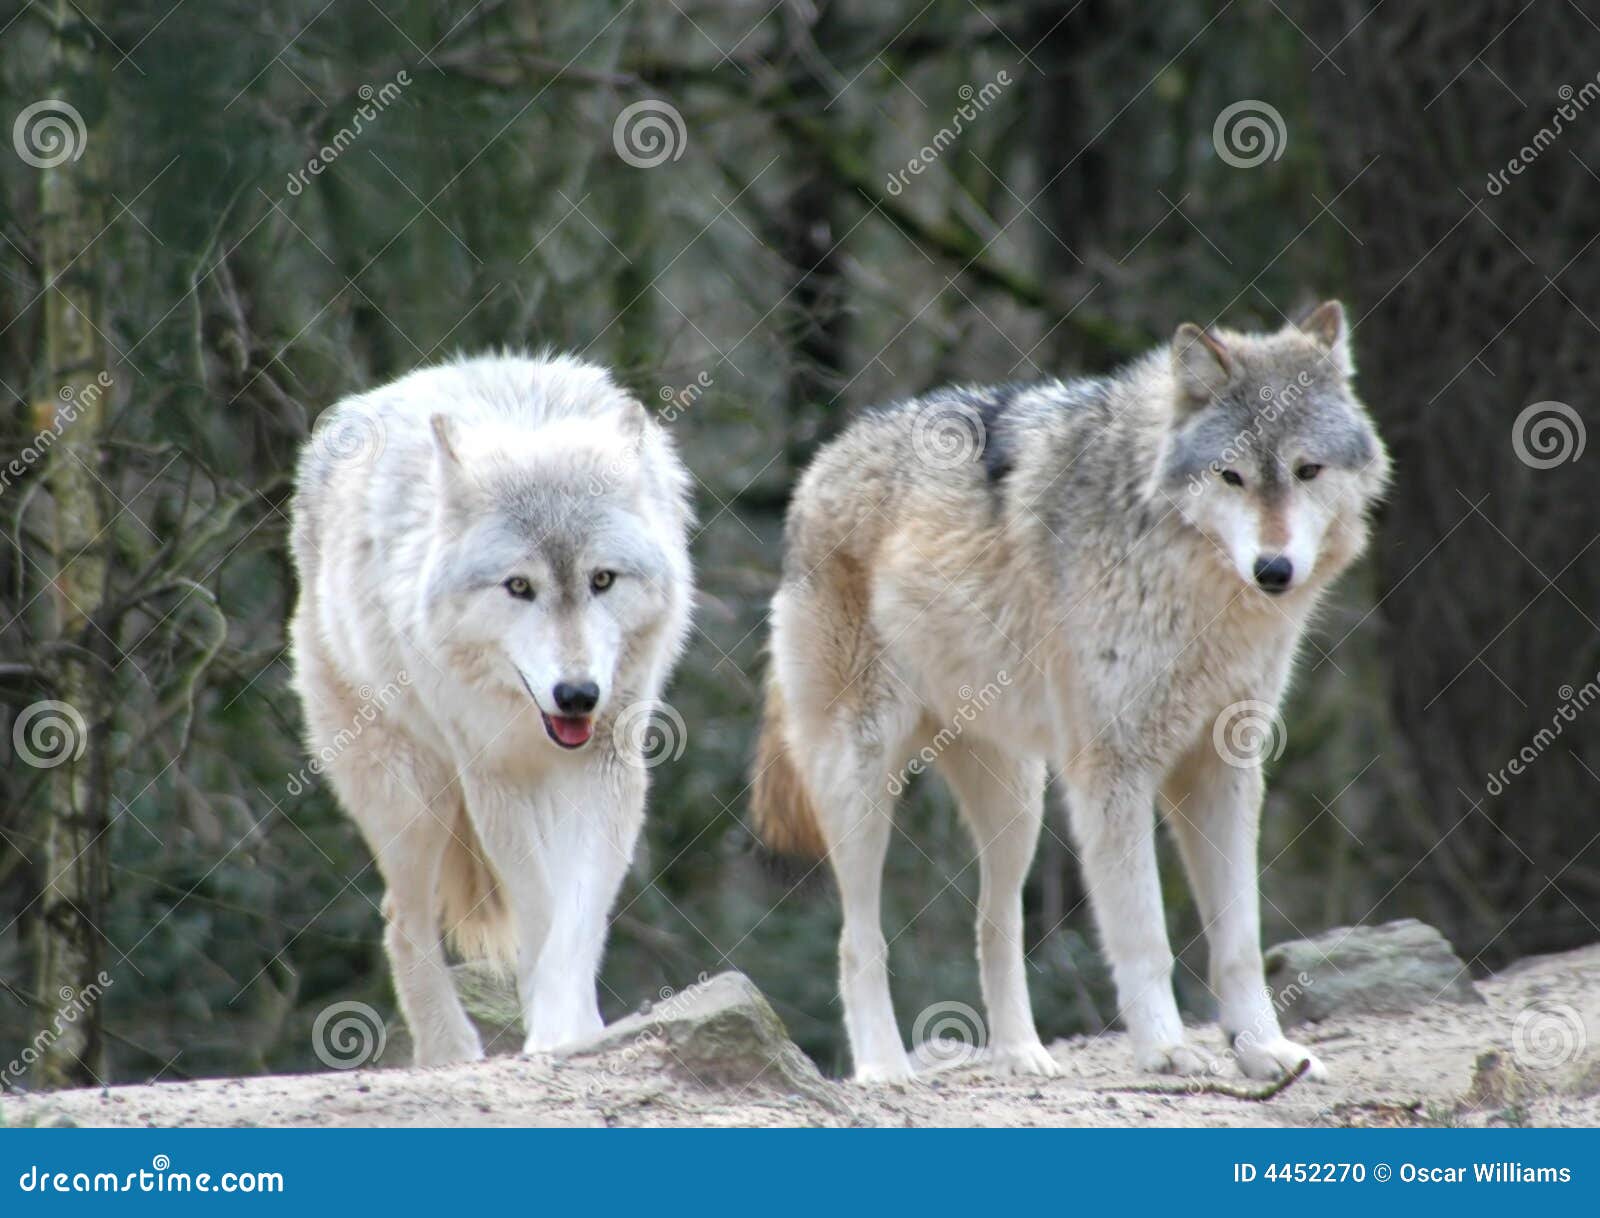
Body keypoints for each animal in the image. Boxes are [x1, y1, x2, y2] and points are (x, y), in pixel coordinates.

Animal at [289, 353, 693, 1065]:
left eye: (602, 580)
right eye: (519, 587)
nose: (577, 694)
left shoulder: (609, 770)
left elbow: (576, 917)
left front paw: (569, 1027)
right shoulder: (495, 778)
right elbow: (540, 910)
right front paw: (551, 1031)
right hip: (410, 795)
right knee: (401, 921)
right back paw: (449, 1053)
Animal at [752, 303, 1388, 1083]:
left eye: (1306, 470)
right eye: (1231, 476)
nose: (1274, 569)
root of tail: (822, 460)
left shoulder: (1223, 768)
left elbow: (1239, 940)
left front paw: (1265, 1050)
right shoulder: (1112, 771)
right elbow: (1144, 936)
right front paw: (1167, 1050)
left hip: (1017, 801)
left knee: (995, 924)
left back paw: (1021, 1055)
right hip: (862, 783)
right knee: (857, 938)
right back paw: (883, 1068)